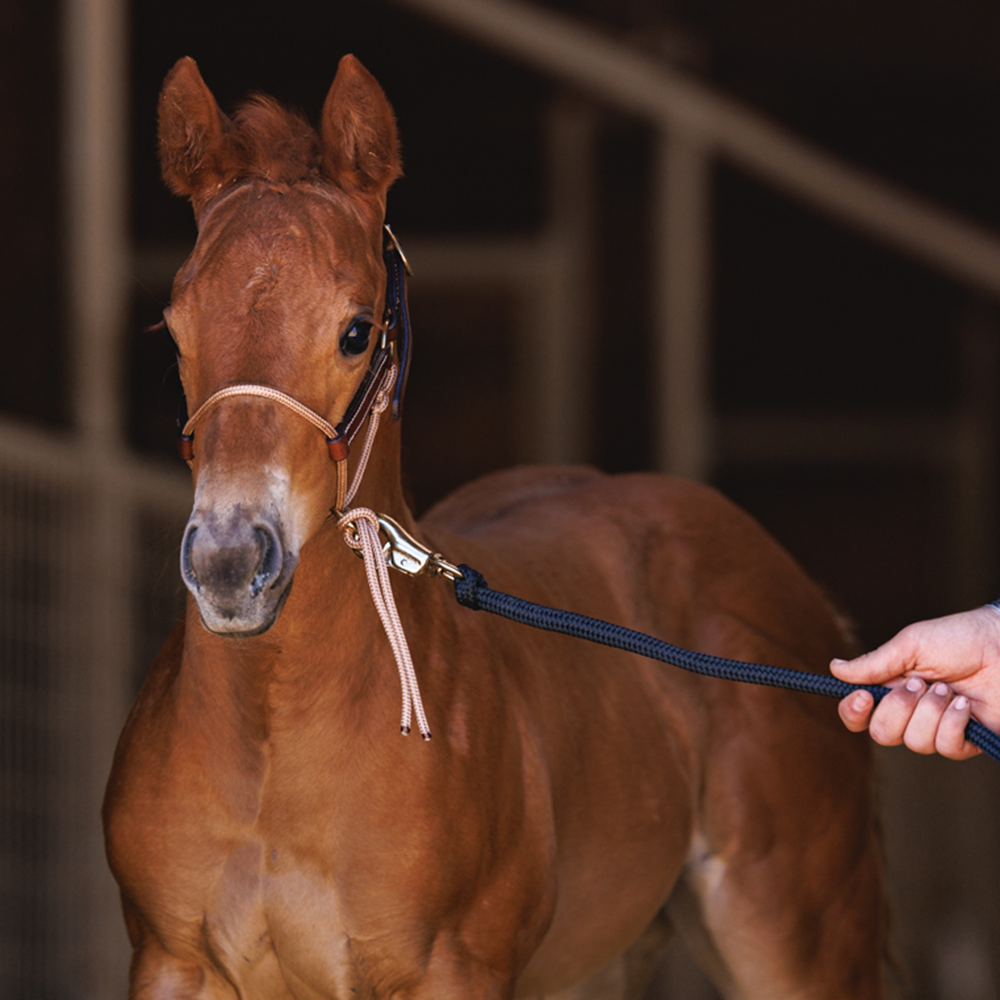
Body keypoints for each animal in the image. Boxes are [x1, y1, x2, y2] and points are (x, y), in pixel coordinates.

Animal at [103, 54, 887, 1000]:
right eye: (175, 329)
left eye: (356, 331)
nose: (229, 562)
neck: (275, 749)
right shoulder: (170, 962)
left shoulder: (453, 968)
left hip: (794, 935)